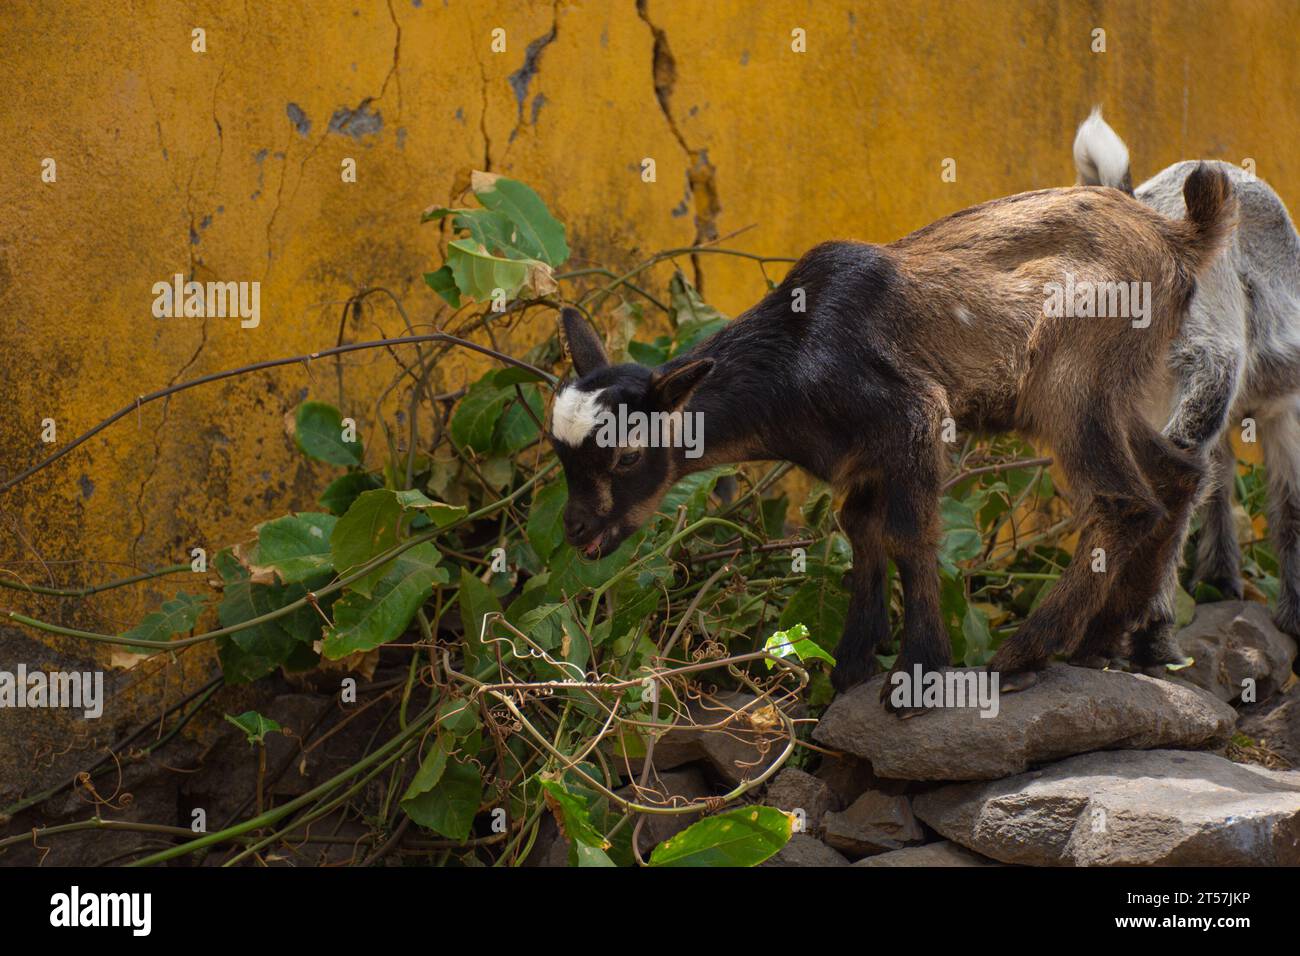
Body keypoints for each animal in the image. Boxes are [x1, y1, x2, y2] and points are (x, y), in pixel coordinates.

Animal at [546, 169, 1237, 701]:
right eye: (559, 453)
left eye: (626, 455)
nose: (575, 530)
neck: (793, 351)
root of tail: (1176, 237)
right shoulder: (864, 456)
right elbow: (860, 528)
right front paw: (853, 662)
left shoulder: (915, 415)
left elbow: (908, 533)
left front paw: (919, 672)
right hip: (1113, 391)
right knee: (1178, 475)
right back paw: (1106, 641)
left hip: (1072, 380)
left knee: (1123, 501)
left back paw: (1026, 653)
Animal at [1071, 109, 1300, 676]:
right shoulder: (1283, 406)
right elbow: (1289, 505)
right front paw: (1294, 615)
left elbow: (1224, 487)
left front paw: (1218, 581)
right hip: (1208, 361)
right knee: (1174, 478)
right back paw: (1152, 641)